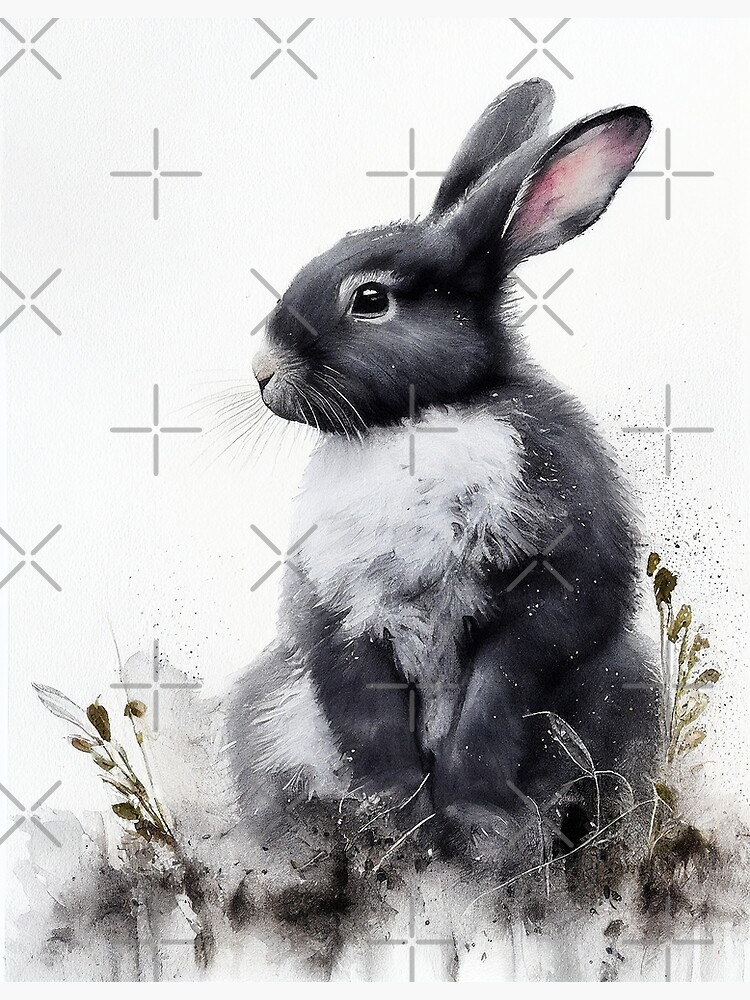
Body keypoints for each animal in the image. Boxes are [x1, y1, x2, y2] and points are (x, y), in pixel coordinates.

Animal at [226, 79, 661, 855]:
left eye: (371, 299)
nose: (262, 371)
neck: (415, 421)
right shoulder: (340, 612)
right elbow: (364, 712)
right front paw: (392, 814)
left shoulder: (550, 594)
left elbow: (496, 697)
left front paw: (474, 811)